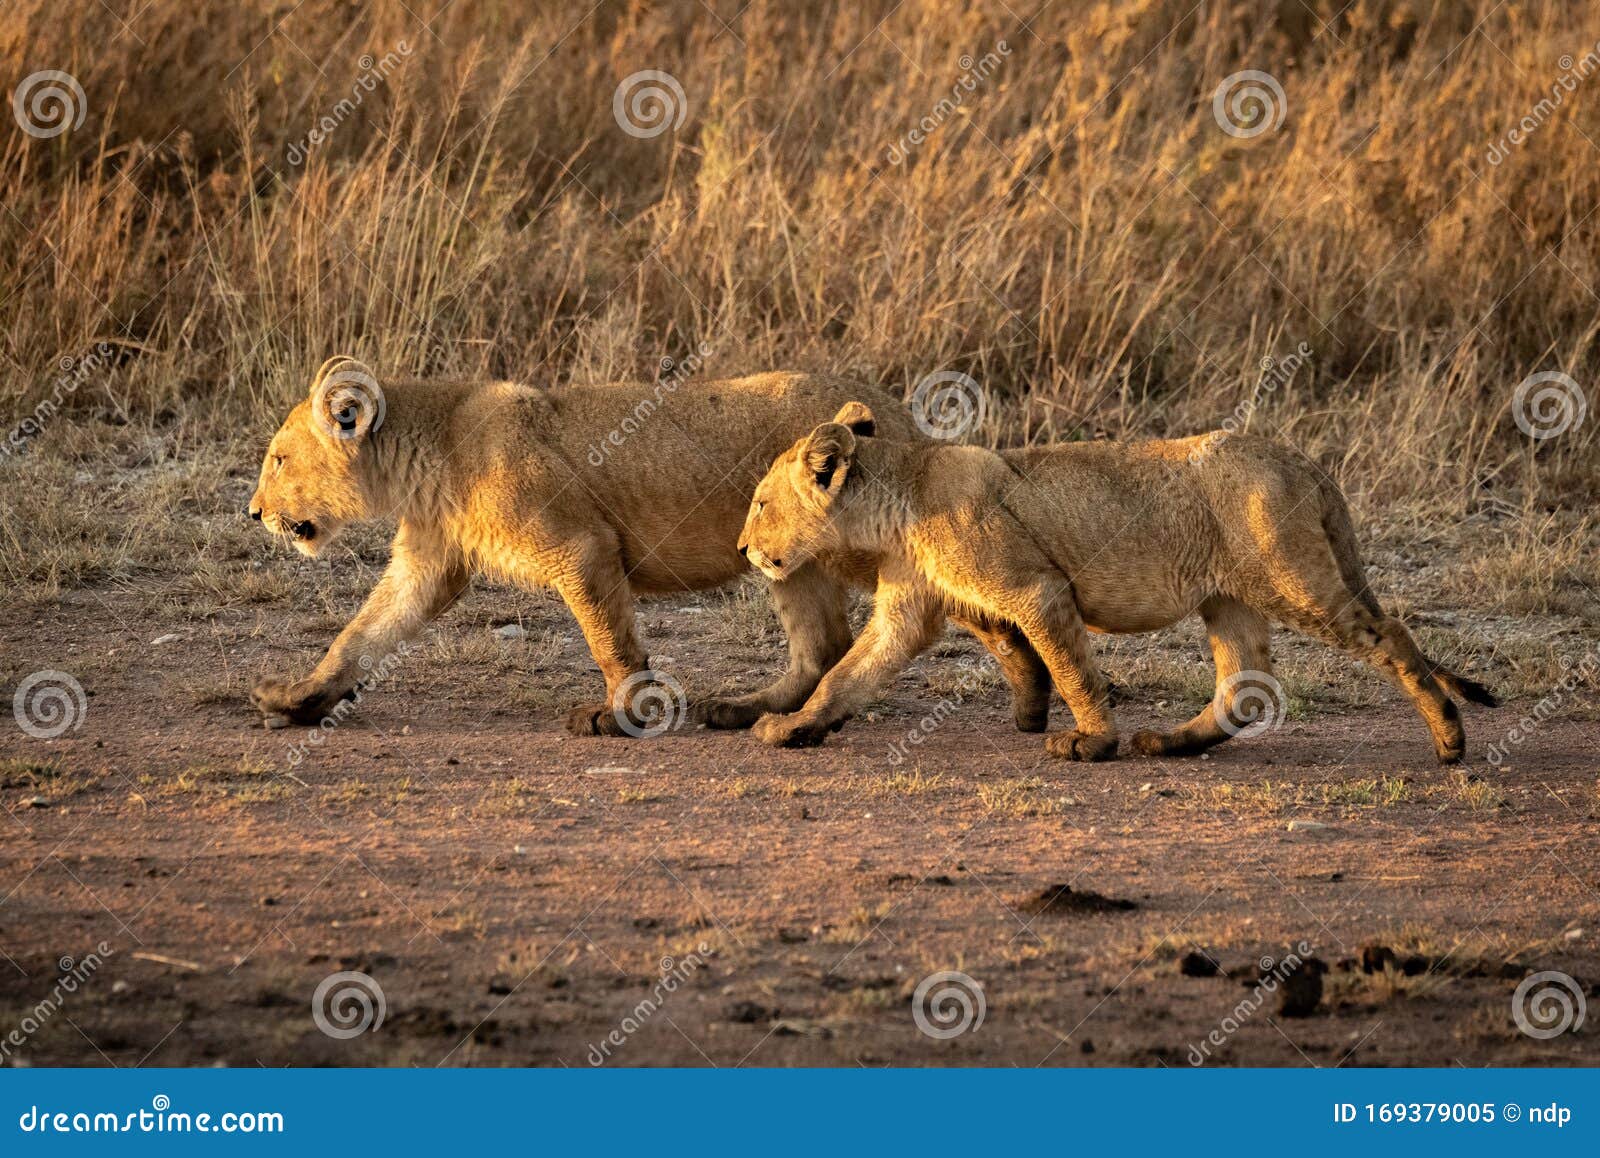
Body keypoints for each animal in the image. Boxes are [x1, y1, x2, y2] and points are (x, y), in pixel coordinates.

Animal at [246, 357, 1054, 736]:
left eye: (279, 458)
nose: (253, 512)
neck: (429, 447)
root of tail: (896, 412)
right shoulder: (429, 563)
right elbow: (363, 632)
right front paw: (300, 699)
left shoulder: (579, 546)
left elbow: (610, 640)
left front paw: (621, 715)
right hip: (785, 557)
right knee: (823, 644)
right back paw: (745, 710)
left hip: (858, 539)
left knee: (966, 602)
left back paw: (1032, 700)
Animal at [737, 404, 1498, 764]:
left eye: (761, 503)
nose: (743, 548)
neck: (899, 496)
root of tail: (1303, 461)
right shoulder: (907, 611)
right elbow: (849, 674)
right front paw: (796, 726)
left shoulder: (1036, 590)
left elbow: (1072, 668)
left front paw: (1092, 743)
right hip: (1229, 598)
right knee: (1245, 688)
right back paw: (1166, 743)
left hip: (1291, 578)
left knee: (1389, 633)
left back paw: (1449, 742)